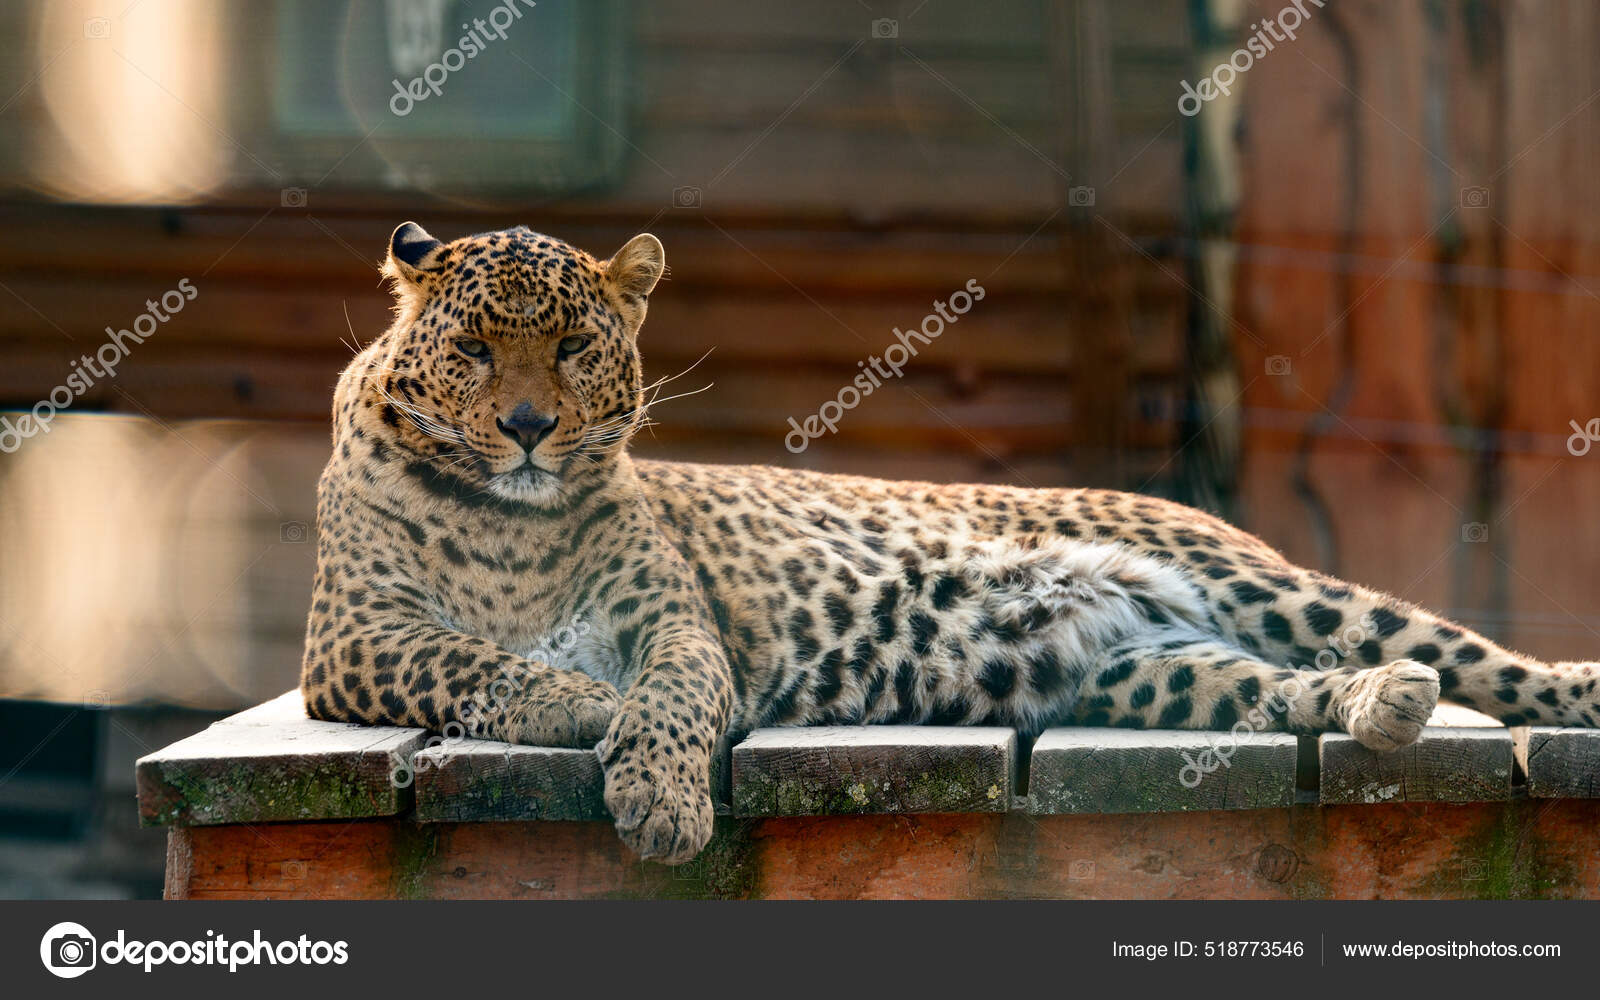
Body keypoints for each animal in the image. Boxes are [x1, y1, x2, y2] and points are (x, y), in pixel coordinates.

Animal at [301, 221, 1600, 864]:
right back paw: (1379, 704)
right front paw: (575, 703)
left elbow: (666, 697)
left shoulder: (674, 624)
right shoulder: (351, 643)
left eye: (574, 347)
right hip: (1144, 673)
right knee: (1287, 691)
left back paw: (1556, 686)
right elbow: (464, 657)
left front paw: (658, 798)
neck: (510, 518)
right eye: (473, 348)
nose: (527, 427)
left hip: (1264, 585)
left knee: (1464, 656)